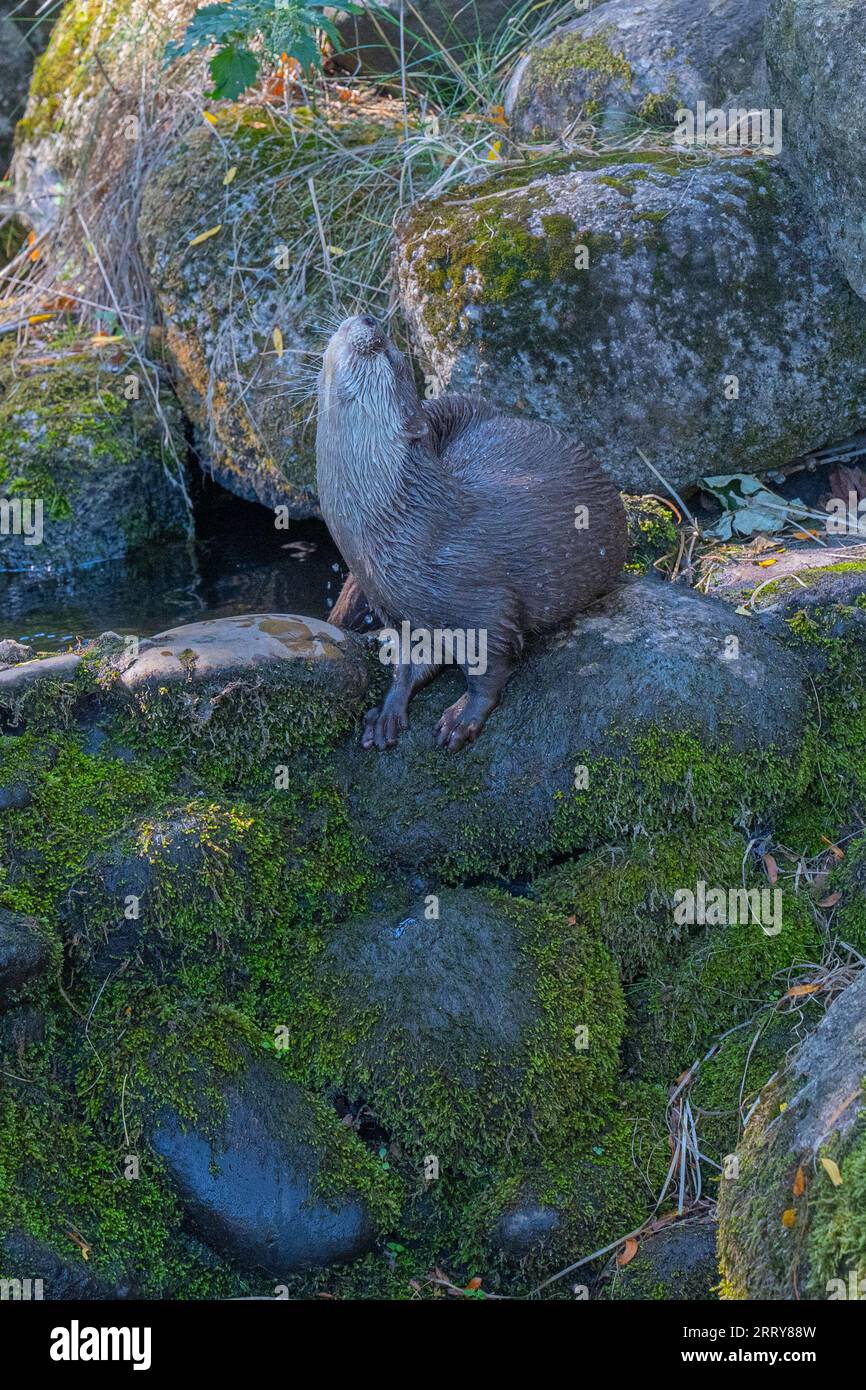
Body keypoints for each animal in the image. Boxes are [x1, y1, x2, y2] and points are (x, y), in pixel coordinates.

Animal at [316, 314, 627, 752]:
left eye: (389, 356)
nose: (370, 318)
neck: (405, 531)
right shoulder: (400, 614)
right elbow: (410, 662)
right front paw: (389, 710)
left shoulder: (483, 600)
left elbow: (491, 662)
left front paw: (463, 716)